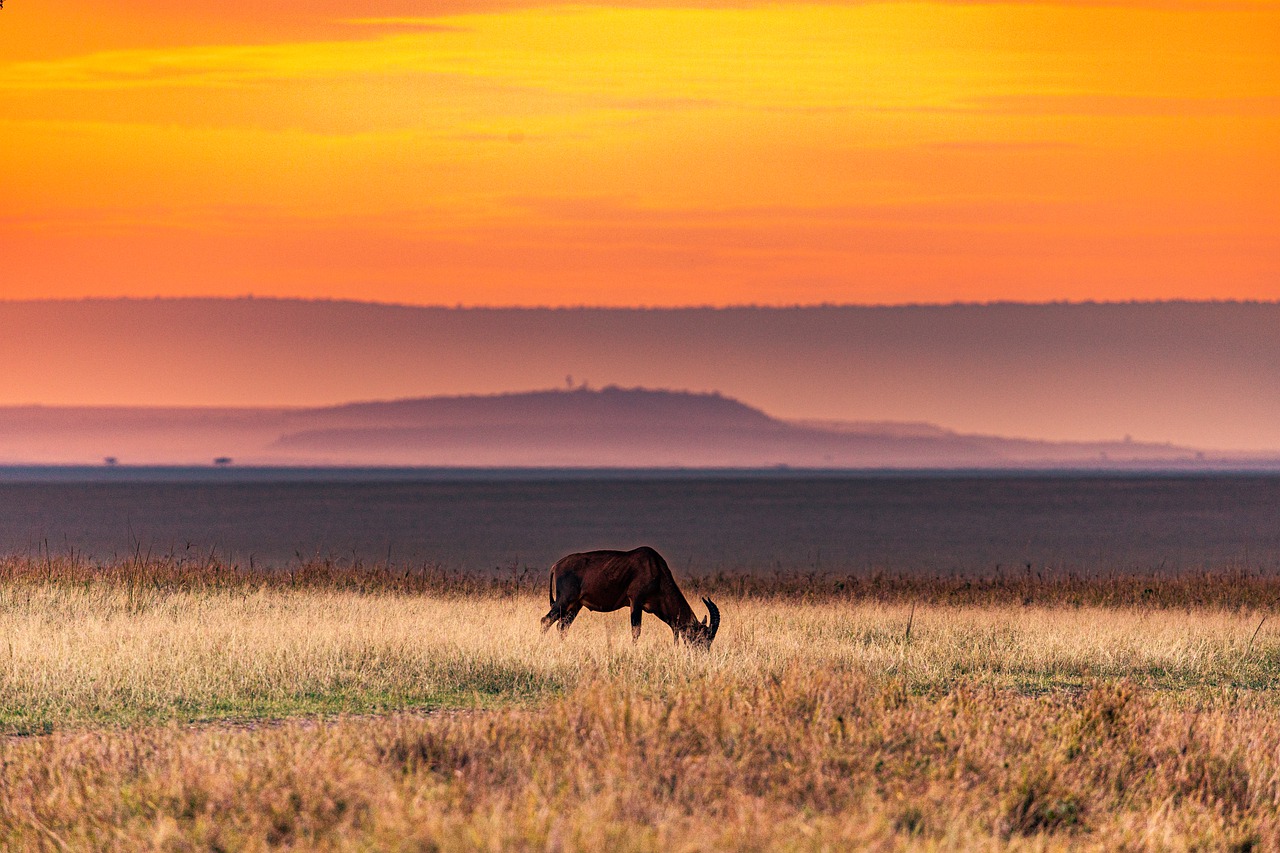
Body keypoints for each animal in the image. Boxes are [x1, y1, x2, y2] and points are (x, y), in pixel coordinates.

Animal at [540, 546, 721, 648]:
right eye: (703, 637)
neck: (654, 567)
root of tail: (556, 566)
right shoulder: (636, 601)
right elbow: (636, 631)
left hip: (575, 606)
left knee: (562, 627)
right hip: (564, 601)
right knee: (545, 620)